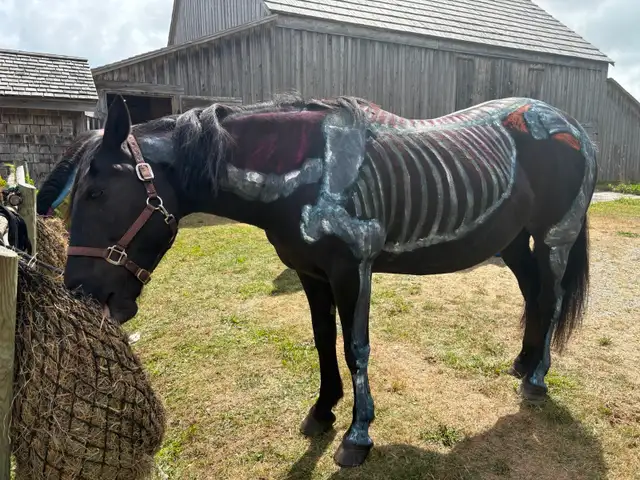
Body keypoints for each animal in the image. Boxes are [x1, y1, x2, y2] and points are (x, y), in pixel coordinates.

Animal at [39, 92, 597, 467]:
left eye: (94, 193)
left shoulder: (353, 268)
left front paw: (358, 435)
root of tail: (574, 128)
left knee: (552, 298)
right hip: (513, 240)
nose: (83, 292)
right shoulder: (312, 274)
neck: (307, 173)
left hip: (555, 237)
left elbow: (356, 347)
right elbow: (323, 341)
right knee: (535, 296)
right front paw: (324, 409)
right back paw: (523, 363)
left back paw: (537, 379)